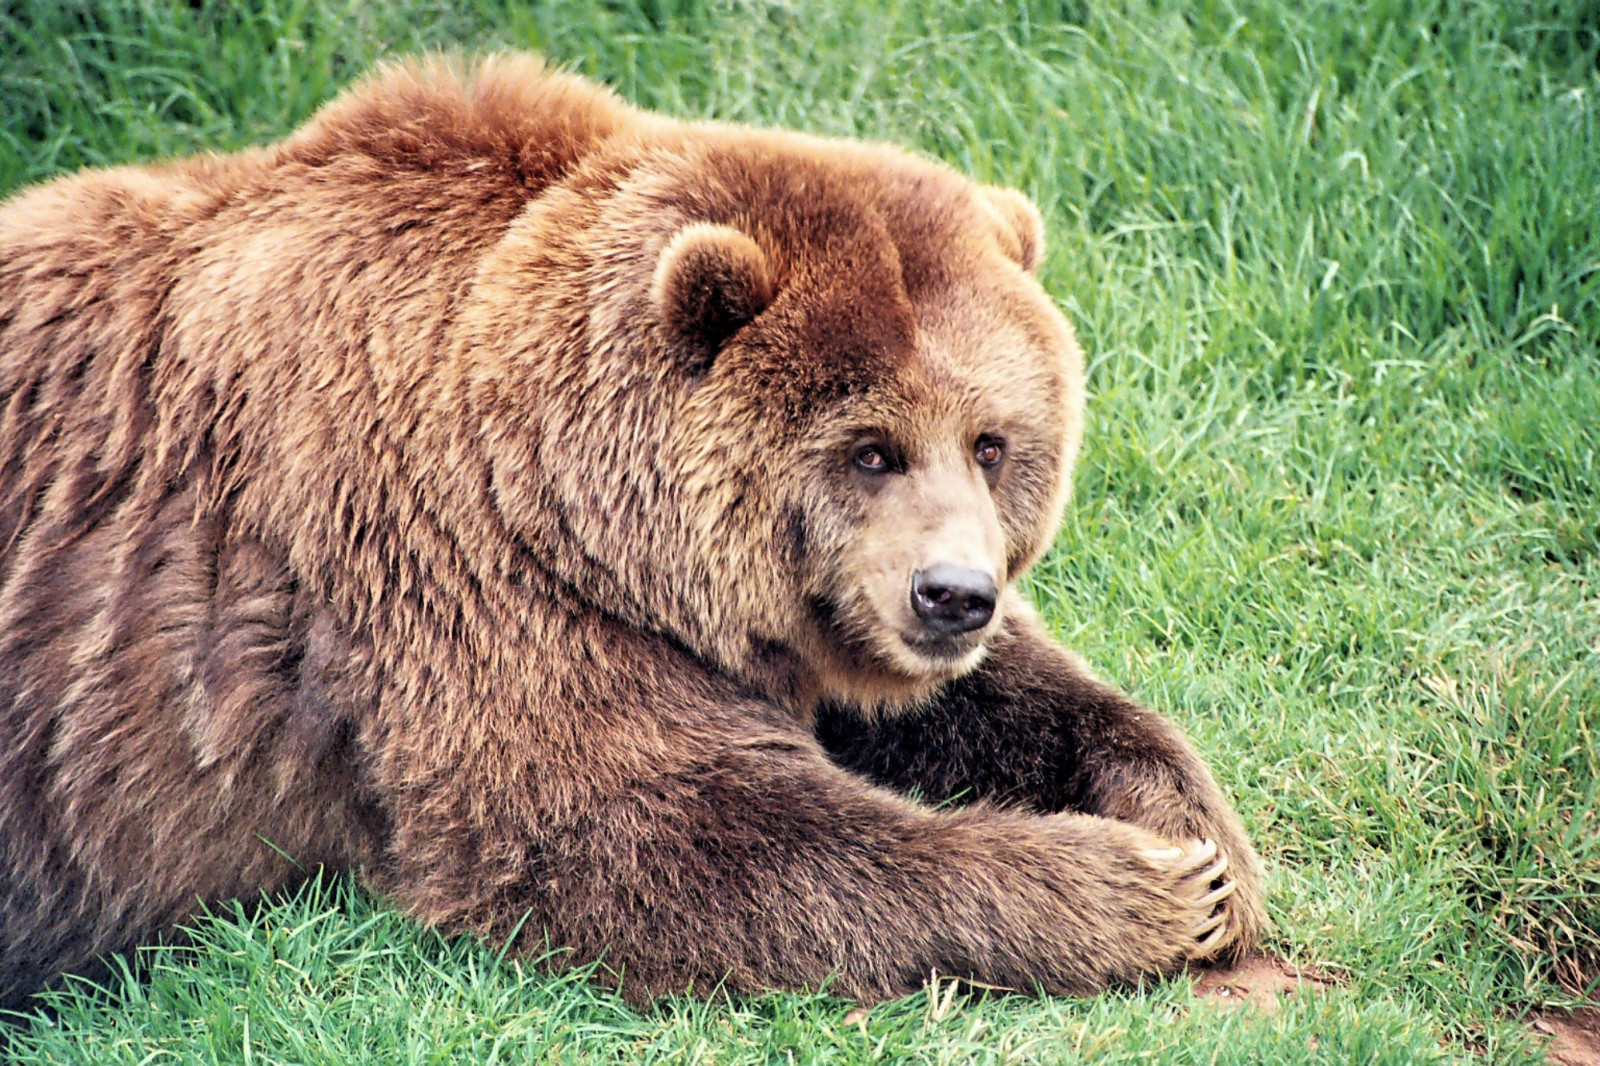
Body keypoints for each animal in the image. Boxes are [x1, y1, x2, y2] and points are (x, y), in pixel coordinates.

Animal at [0, 53, 1265, 1012]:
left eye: (992, 442)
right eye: (871, 447)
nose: (951, 593)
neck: (557, 488)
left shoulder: (782, 615)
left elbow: (996, 701)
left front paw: (1200, 842)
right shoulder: (452, 571)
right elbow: (658, 830)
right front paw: (1141, 887)